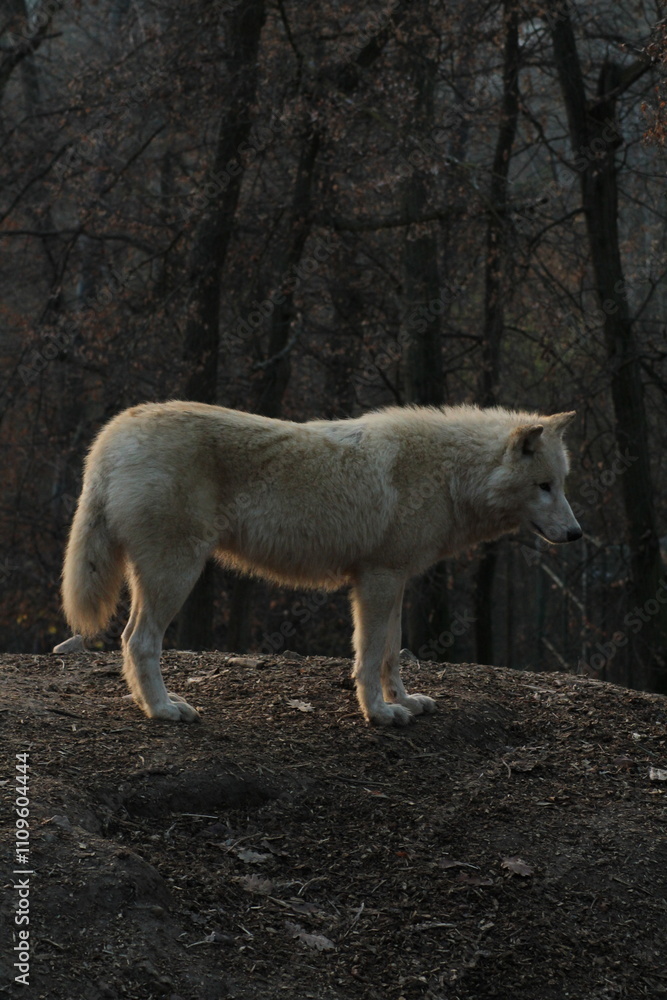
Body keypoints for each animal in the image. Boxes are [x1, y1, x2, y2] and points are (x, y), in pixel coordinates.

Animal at [61, 402, 581, 726]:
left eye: (561, 483)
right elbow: (368, 657)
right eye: (544, 486)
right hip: (176, 574)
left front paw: (404, 702)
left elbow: (391, 653)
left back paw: (146, 705)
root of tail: (111, 436)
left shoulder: (394, 580)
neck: (449, 474)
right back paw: (165, 710)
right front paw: (379, 714)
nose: (577, 534)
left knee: (129, 640)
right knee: (139, 641)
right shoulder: (377, 580)